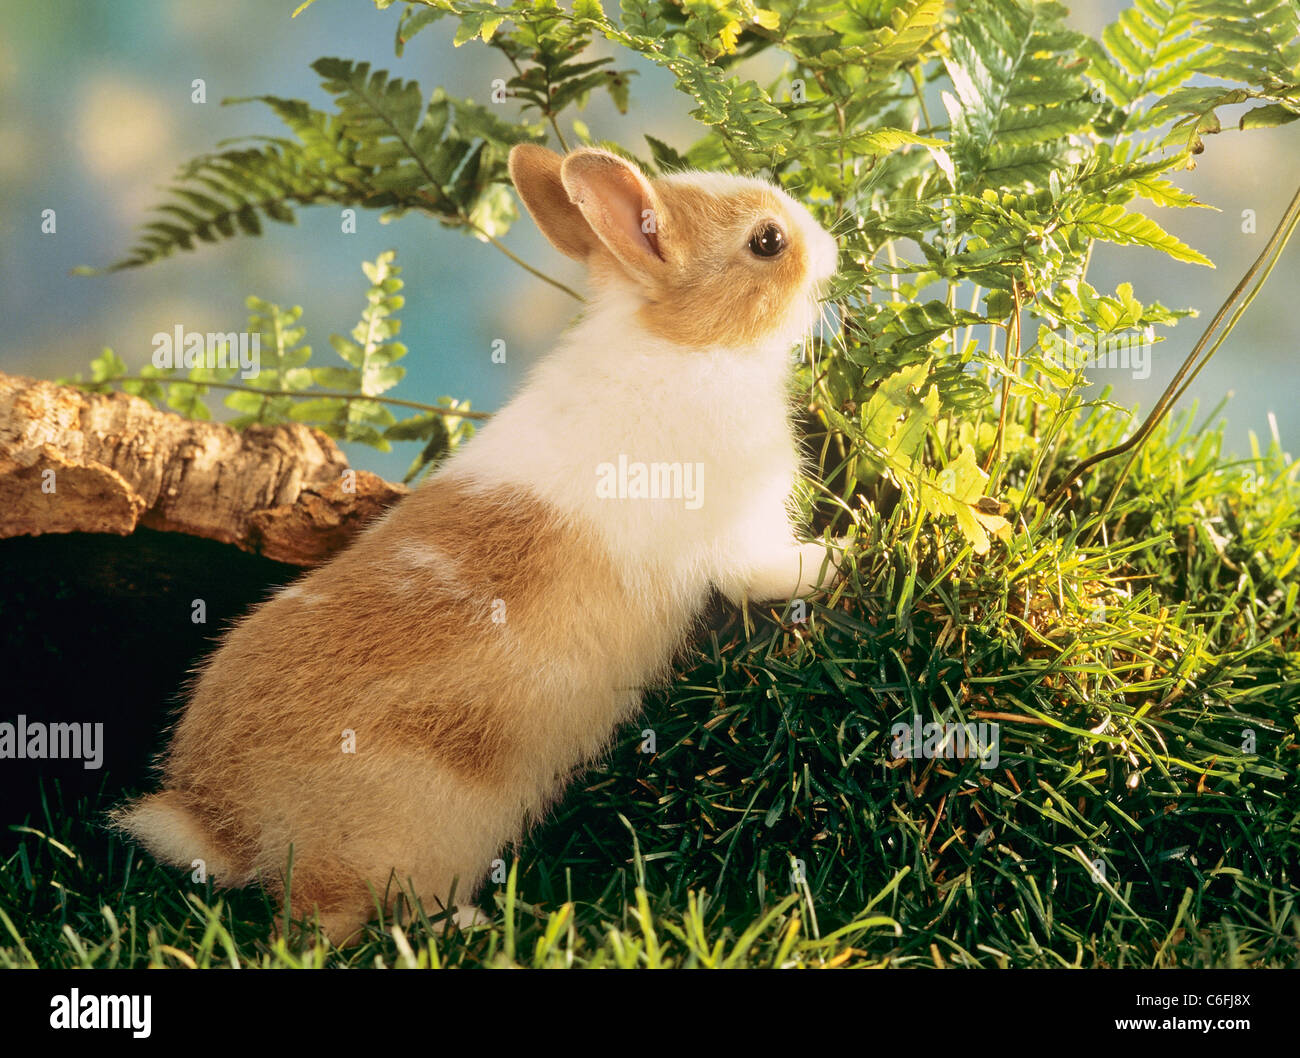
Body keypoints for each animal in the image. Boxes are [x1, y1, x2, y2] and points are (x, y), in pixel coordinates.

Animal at [110, 143, 843, 946]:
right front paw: (838, 557)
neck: (684, 343)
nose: (831, 245)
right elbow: (769, 572)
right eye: (767, 242)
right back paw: (476, 922)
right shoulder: (743, 533)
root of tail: (220, 821)